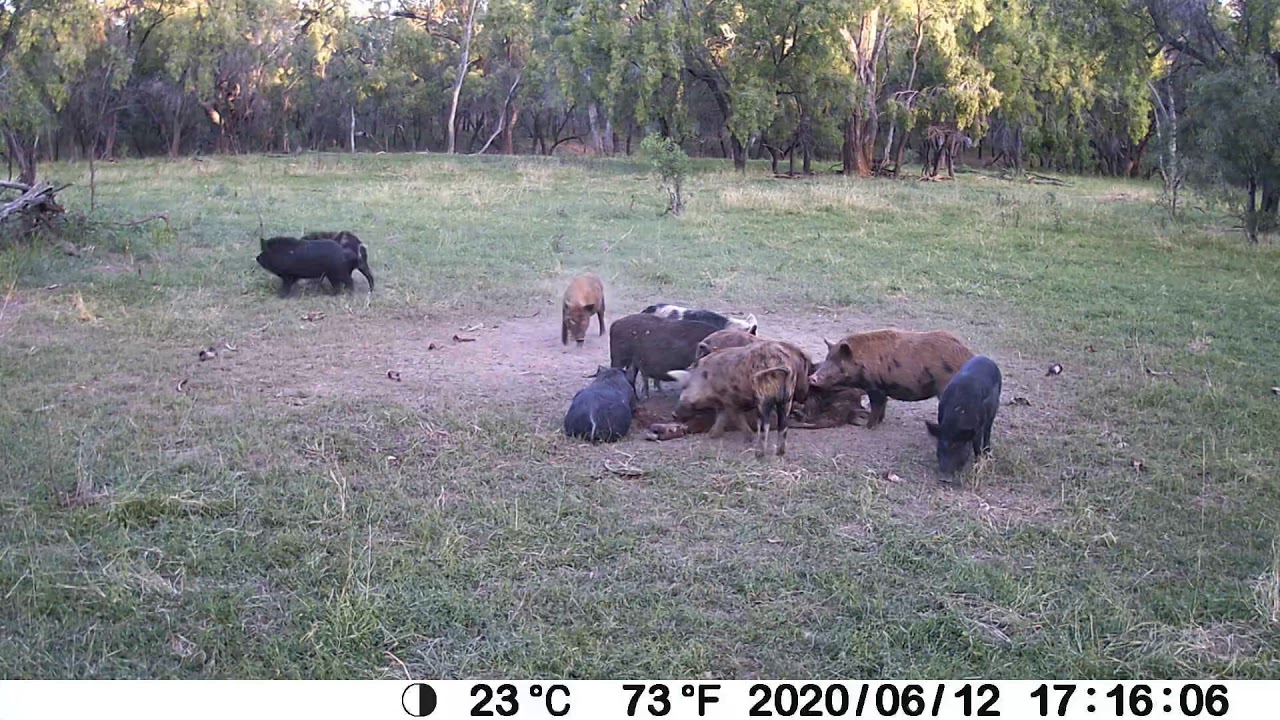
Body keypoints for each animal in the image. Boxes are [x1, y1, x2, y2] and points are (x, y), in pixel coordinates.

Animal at [669, 340, 812, 457]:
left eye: (685, 387)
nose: (674, 414)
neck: (710, 379)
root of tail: (782, 363)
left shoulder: (730, 401)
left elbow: (735, 418)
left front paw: (747, 438)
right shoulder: (724, 402)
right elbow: (722, 417)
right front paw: (712, 435)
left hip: (764, 398)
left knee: (765, 425)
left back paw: (759, 454)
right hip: (787, 398)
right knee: (783, 424)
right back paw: (780, 453)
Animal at [809, 329, 973, 429]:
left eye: (839, 363)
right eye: (827, 358)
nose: (812, 377)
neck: (863, 362)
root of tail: (968, 354)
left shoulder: (875, 387)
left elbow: (877, 406)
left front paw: (868, 426)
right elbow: (882, 406)